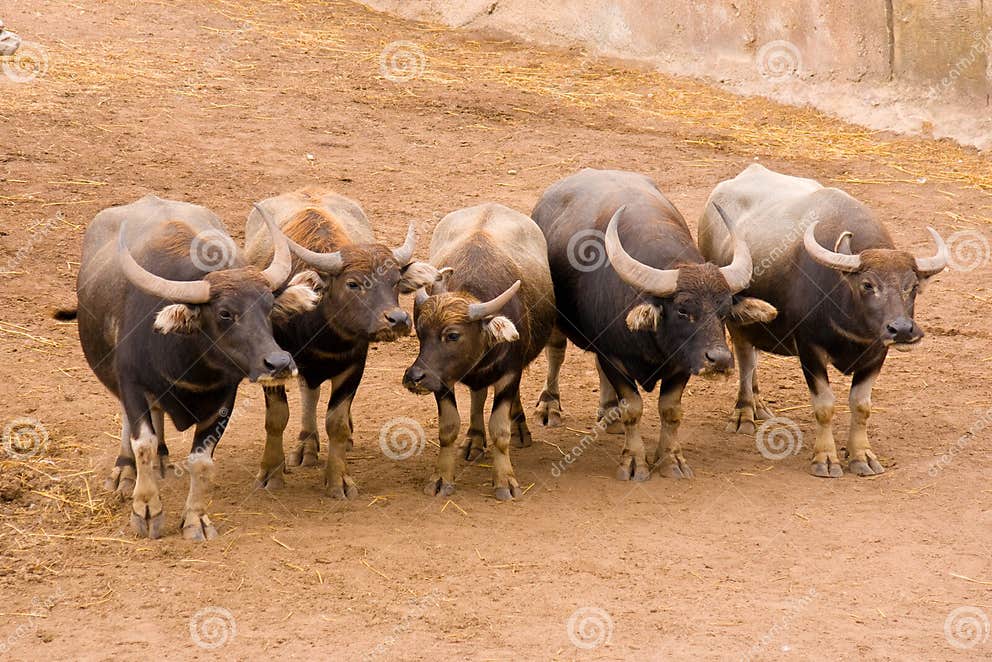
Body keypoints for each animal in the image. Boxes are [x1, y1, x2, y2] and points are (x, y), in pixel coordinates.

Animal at [62, 194, 316, 540]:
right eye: (224, 313)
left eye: (268, 307)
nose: (278, 363)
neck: (186, 362)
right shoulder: (131, 383)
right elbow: (143, 443)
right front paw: (146, 510)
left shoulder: (223, 397)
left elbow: (201, 461)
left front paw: (196, 519)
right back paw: (125, 472)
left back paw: (163, 459)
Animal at [244, 187, 438, 498]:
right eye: (353, 283)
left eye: (395, 281)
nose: (397, 320)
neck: (321, 330)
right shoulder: (271, 363)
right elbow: (276, 417)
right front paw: (271, 473)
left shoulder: (354, 365)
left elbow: (336, 423)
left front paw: (338, 480)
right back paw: (305, 445)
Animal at [402, 203, 556, 500]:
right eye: (421, 332)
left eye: (452, 335)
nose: (414, 378)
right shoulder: (442, 379)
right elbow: (448, 428)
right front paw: (441, 478)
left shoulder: (510, 373)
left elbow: (500, 429)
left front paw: (505, 480)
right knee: (478, 394)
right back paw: (474, 438)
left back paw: (520, 429)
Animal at [531, 169, 777, 481]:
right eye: (683, 310)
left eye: (723, 312)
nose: (719, 360)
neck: (652, 343)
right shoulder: (613, 357)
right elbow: (633, 408)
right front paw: (635, 462)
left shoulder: (683, 362)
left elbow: (670, 410)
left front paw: (671, 459)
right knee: (556, 353)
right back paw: (549, 406)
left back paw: (608, 412)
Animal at [698, 164, 948, 477]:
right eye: (867, 285)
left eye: (912, 286)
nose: (902, 329)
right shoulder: (809, 349)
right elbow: (824, 405)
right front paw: (826, 459)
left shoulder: (877, 352)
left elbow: (861, 406)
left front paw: (861, 456)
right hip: (735, 317)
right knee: (745, 357)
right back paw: (744, 413)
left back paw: (758, 404)